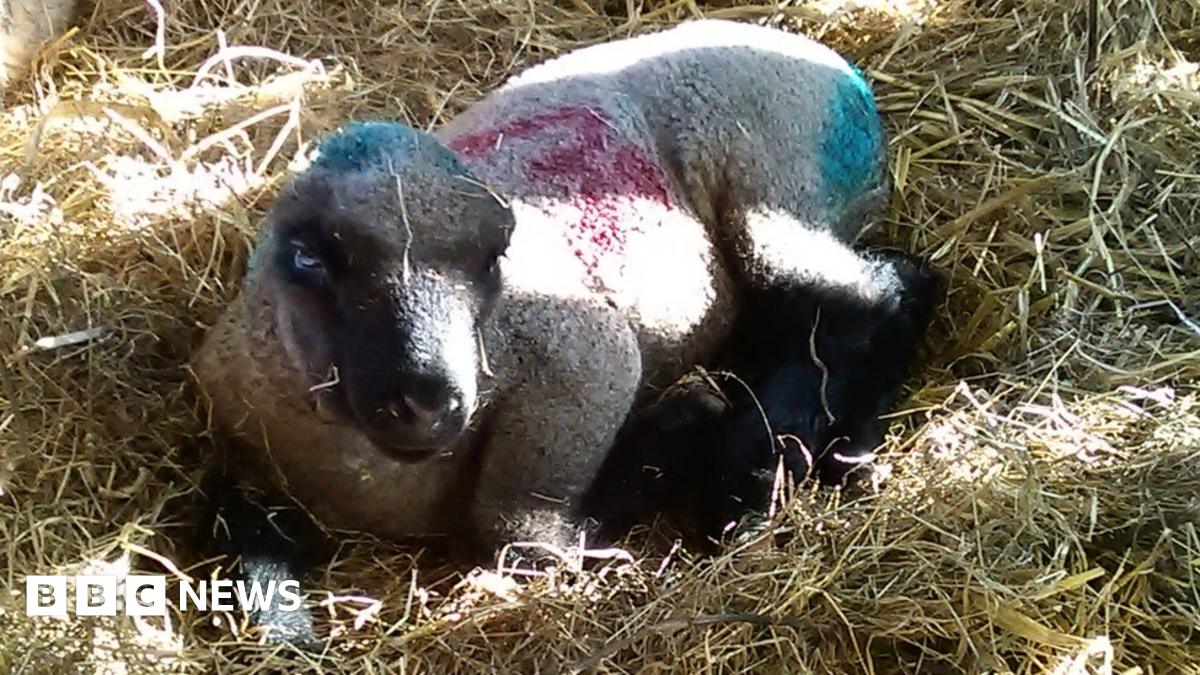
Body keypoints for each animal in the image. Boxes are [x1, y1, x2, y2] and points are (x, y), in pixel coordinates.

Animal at [194, 19, 896, 568]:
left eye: (494, 256)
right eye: (309, 258)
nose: (427, 403)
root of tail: (839, 71)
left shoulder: (585, 356)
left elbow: (517, 535)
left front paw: (676, 430)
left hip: (773, 178)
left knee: (872, 295)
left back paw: (778, 470)